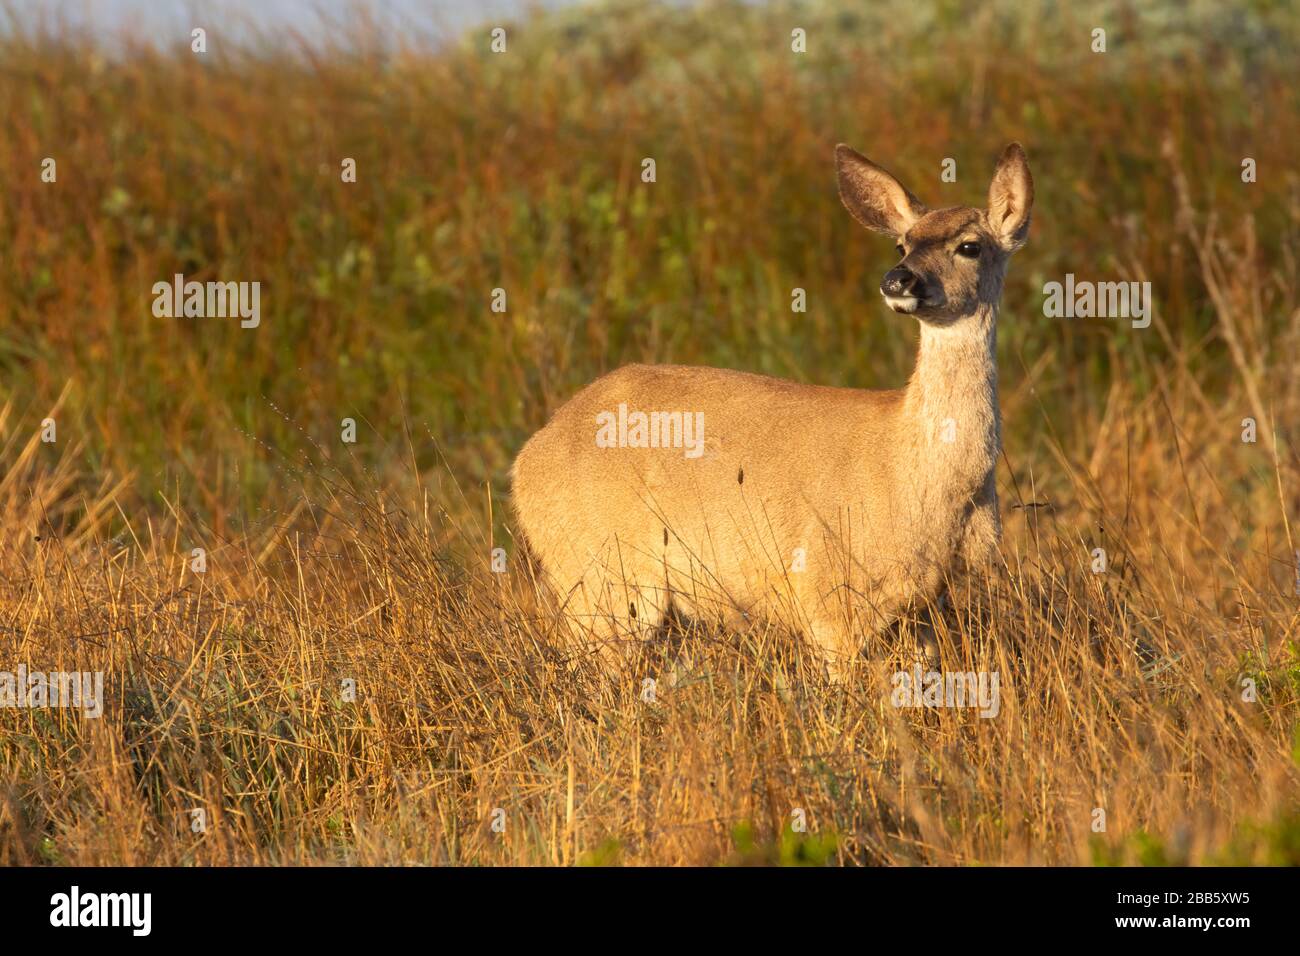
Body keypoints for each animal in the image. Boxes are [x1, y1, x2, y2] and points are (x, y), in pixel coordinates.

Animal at [511, 142, 1033, 680]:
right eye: (901, 245)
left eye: (970, 246)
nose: (897, 280)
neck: (917, 471)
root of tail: (526, 461)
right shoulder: (829, 594)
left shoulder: (925, 607)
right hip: (603, 576)